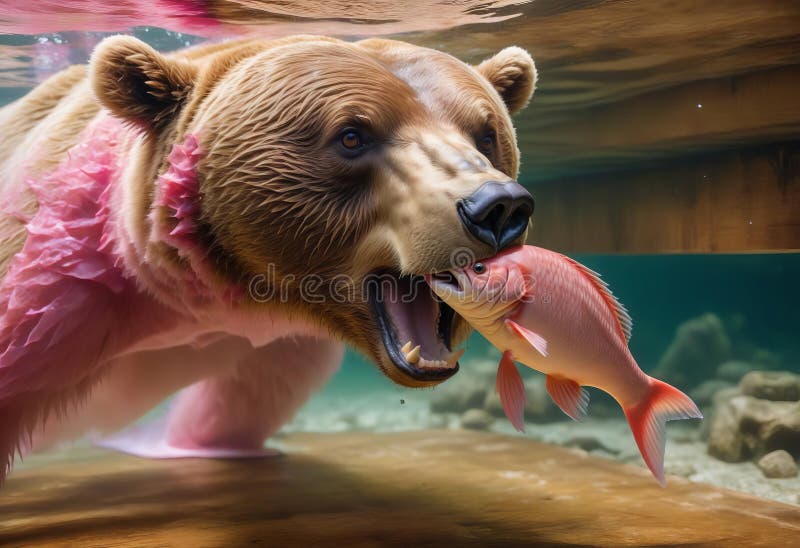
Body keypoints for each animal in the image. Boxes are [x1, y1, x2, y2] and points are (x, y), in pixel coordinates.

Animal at [0, 35, 536, 480]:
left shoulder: (278, 333)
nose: (498, 207)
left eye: (486, 133)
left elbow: (253, 391)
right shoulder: (62, 276)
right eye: (352, 135)